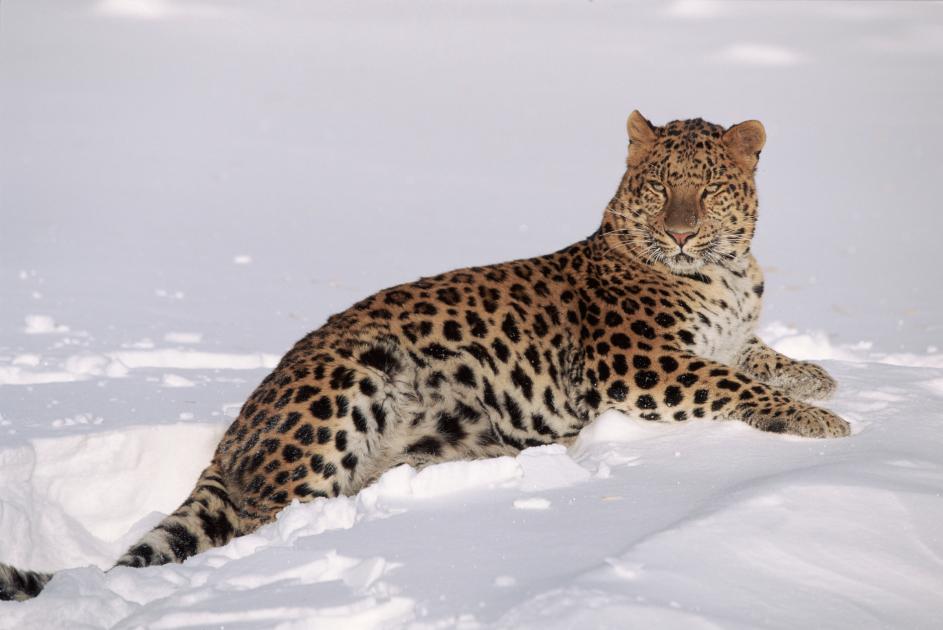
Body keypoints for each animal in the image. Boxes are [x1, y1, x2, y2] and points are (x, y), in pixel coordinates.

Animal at [0, 111, 848, 601]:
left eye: (706, 189)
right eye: (656, 186)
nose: (677, 231)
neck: (726, 271)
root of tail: (235, 430)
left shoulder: (726, 334)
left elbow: (754, 357)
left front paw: (818, 376)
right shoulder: (637, 364)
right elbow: (728, 384)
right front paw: (823, 424)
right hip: (350, 377)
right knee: (261, 521)